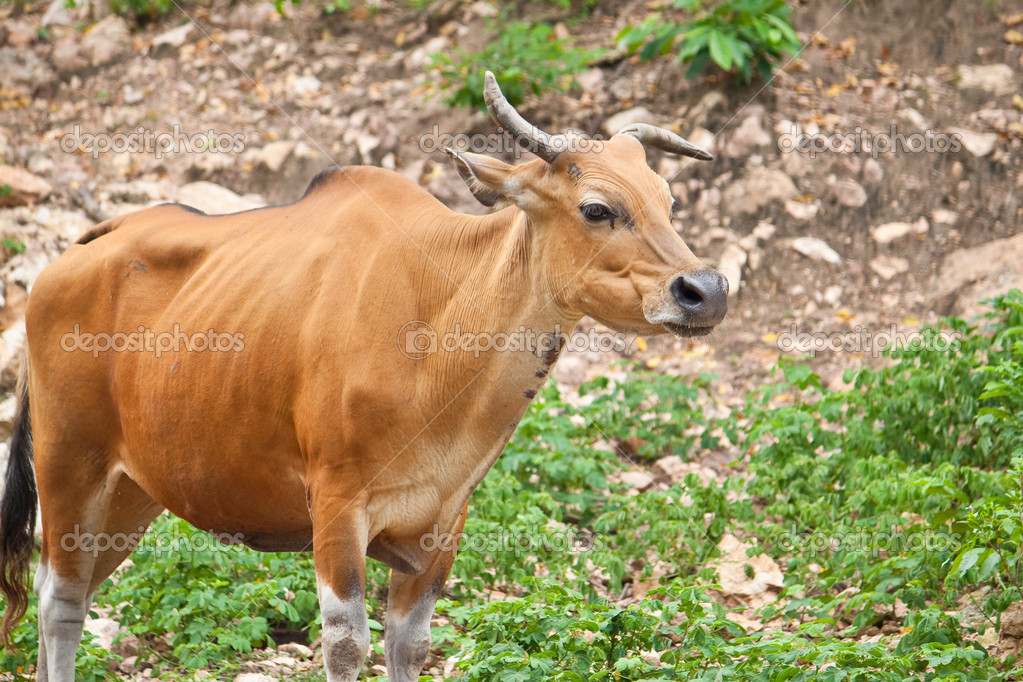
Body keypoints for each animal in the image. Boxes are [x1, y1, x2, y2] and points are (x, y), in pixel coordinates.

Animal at [0, 71, 726, 681]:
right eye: (597, 208)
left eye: (667, 201)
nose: (705, 290)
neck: (435, 335)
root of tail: (73, 256)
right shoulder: (336, 508)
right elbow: (346, 646)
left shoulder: (440, 528)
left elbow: (409, 645)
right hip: (68, 466)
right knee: (60, 602)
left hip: (131, 495)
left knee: (74, 592)